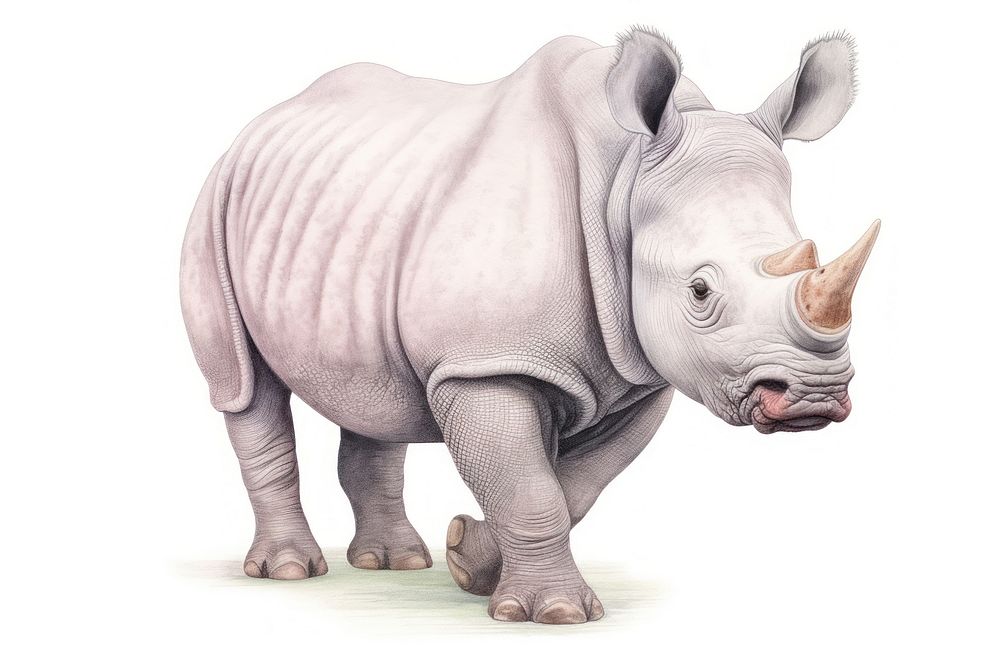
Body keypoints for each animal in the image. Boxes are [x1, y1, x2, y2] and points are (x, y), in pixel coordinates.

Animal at [180, 27, 878, 624]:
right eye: (700, 290)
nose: (813, 397)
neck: (623, 180)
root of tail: (256, 127)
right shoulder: (485, 363)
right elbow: (531, 490)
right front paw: (555, 614)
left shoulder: (640, 374)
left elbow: (574, 488)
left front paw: (467, 560)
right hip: (214, 204)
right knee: (244, 387)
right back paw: (289, 572)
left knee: (374, 396)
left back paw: (397, 563)